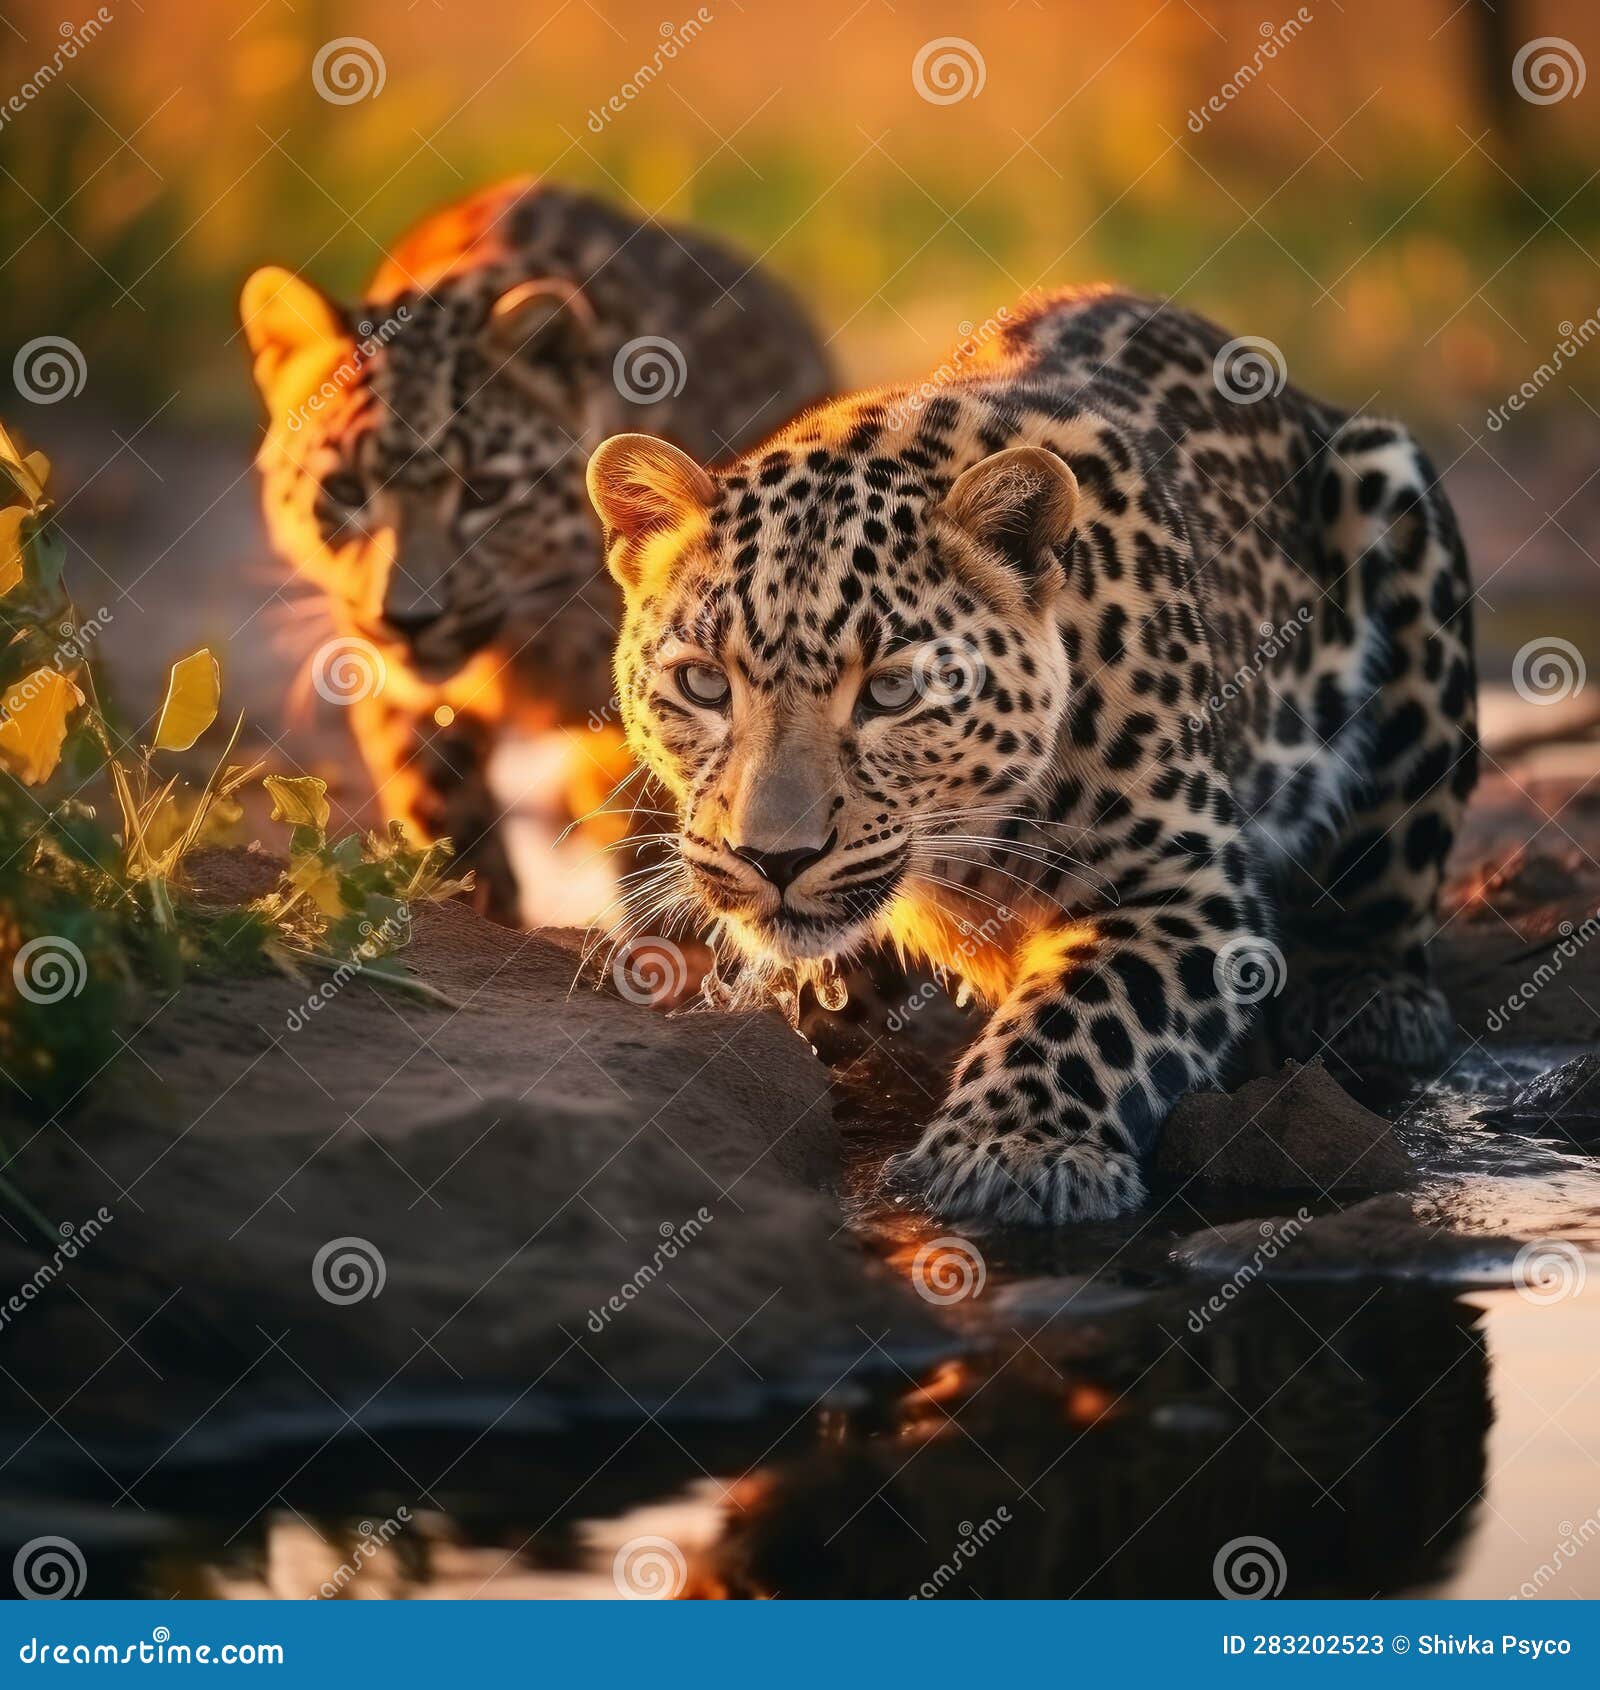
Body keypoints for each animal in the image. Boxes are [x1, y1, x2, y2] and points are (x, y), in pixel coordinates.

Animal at [586, 286, 1478, 1226]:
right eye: (704, 684)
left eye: (893, 692)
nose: (775, 858)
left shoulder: (1183, 882)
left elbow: (1091, 1013)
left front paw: (1011, 1151)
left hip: (1394, 494)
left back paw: (1370, 1000)